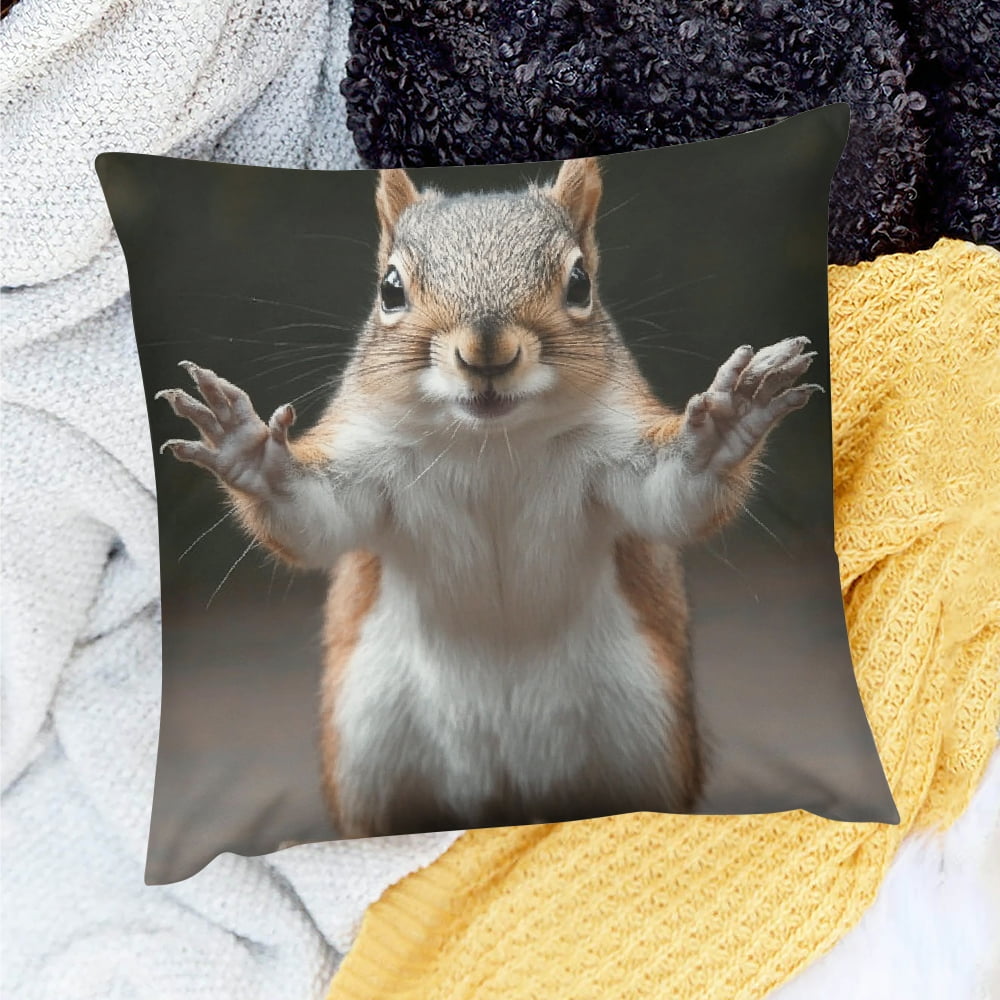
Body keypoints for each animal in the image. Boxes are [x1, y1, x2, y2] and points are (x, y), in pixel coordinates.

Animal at [157, 158, 821, 838]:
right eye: (390, 290)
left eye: (580, 282)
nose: (486, 352)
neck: (490, 445)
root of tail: (508, 797)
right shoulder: (368, 463)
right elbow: (315, 522)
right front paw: (251, 451)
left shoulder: (615, 455)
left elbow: (673, 499)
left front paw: (726, 421)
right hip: (370, 746)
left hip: (644, 736)